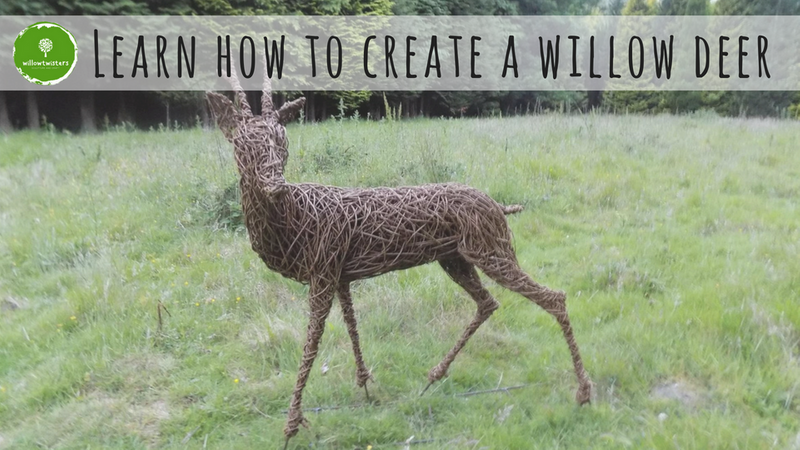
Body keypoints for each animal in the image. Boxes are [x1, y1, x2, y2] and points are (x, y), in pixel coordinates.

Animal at [205, 66, 592, 448]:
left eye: (282, 141)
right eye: (241, 142)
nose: (275, 184)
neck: (295, 216)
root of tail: (498, 205)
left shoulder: (322, 273)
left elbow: (311, 342)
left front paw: (291, 426)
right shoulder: (340, 275)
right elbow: (351, 324)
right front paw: (365, 386)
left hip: (491, 251)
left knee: (554, 298)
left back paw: (583, 394)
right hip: (456, 259)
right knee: (488, 302)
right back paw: (433, 377)